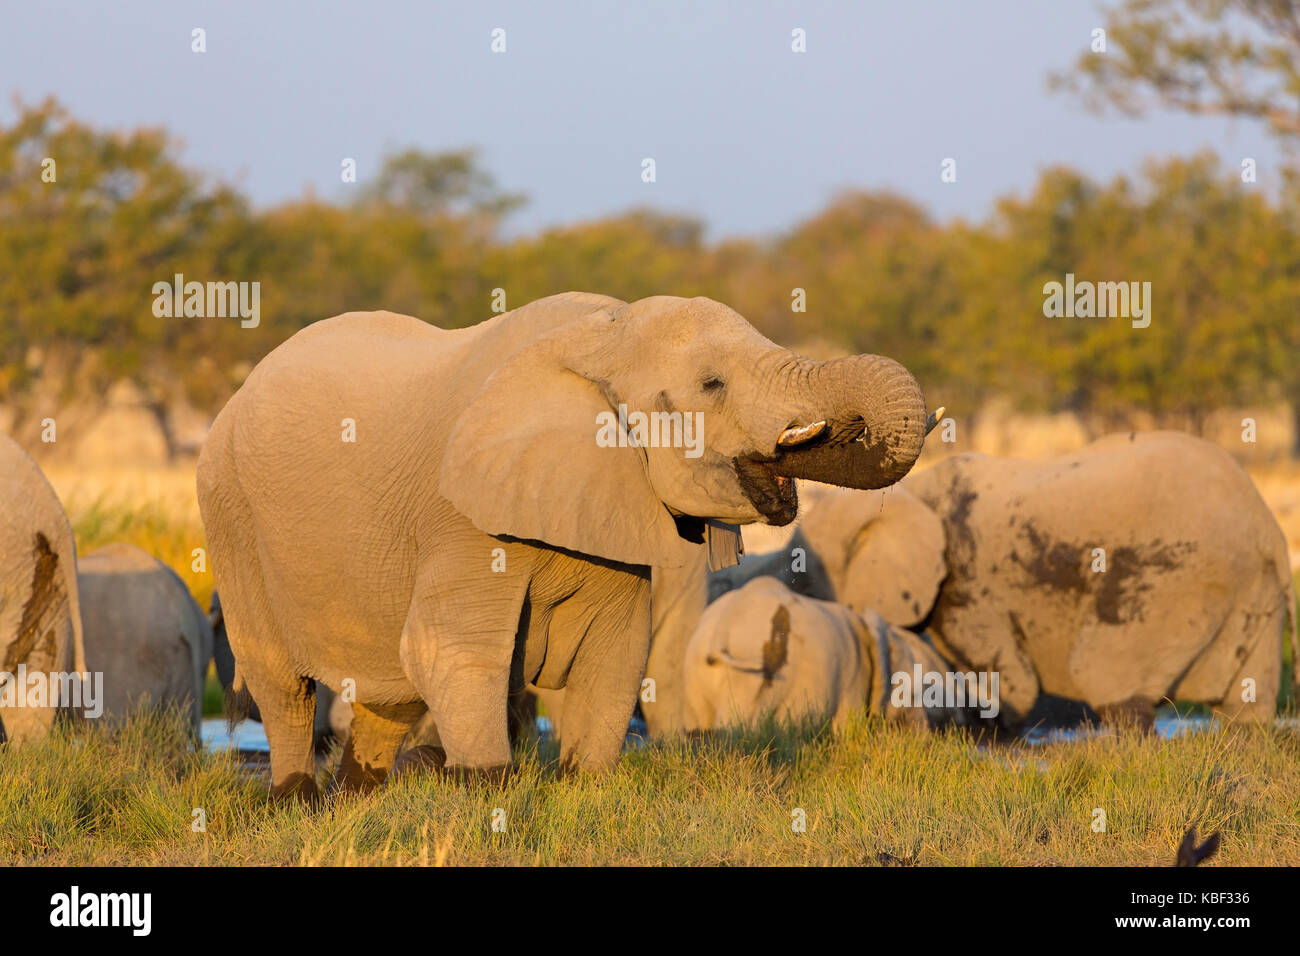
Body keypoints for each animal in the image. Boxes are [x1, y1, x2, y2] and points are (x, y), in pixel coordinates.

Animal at [197, 291, 934, 798]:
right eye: (712, 385)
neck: (601, 334)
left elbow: (613, 652)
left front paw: (584, 787)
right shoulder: (459, 515)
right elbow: (449, 648)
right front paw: (487, 795)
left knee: (387, 688)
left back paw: (357, 802)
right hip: (229, 514)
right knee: (281, 680)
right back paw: (298, 802)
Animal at [904, 431, 1298, 728]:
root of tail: (1268, 530)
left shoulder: (967, 584)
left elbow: (1012, 688)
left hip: (1178, 578)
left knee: (1103, 675)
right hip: (1256, 590)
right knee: (1246, 710)